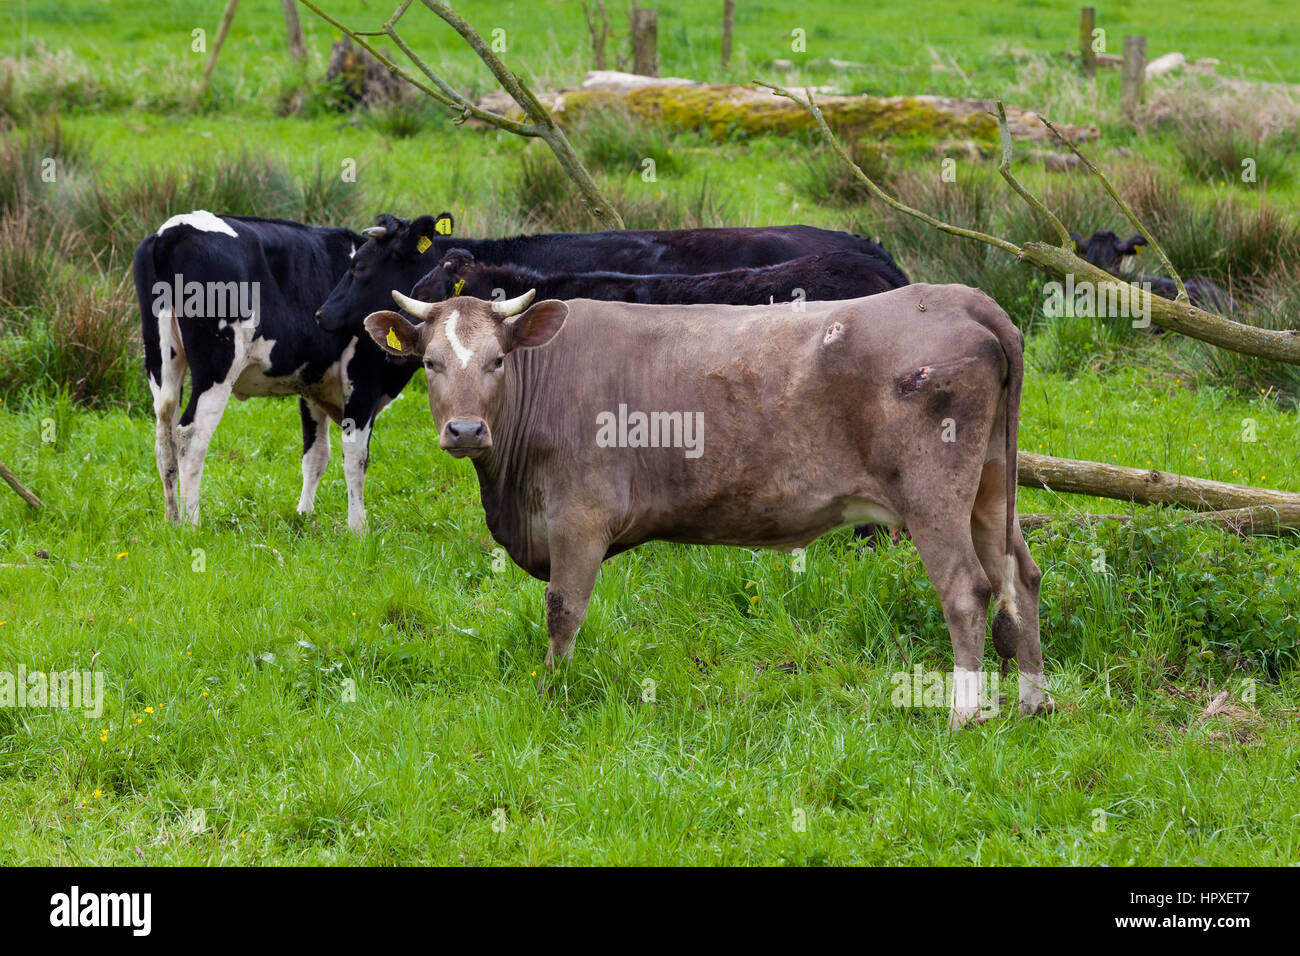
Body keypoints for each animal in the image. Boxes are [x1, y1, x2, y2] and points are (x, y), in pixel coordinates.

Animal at [132, 210, 412, 532]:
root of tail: (172, 230)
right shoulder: (363, 378)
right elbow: (356, 456)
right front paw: (358, 528)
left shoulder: (312, 381)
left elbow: (316, 454)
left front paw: (304, 514)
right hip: (217, 367)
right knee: (190, 436)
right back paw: (192, 525)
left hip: (161, 364)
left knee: (164, 439)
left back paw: (173, 521)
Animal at [362, 284, 1049, 728]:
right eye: (430, 363)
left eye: (498, 359)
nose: (466, 430)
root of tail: (964, 298)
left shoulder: (579, 515)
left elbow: (562, 609)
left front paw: (552, 693)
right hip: (991, 484)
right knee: (1021, 574)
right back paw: (1033, 701)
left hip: (934, 493)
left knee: (967, 588)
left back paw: (964, 715)